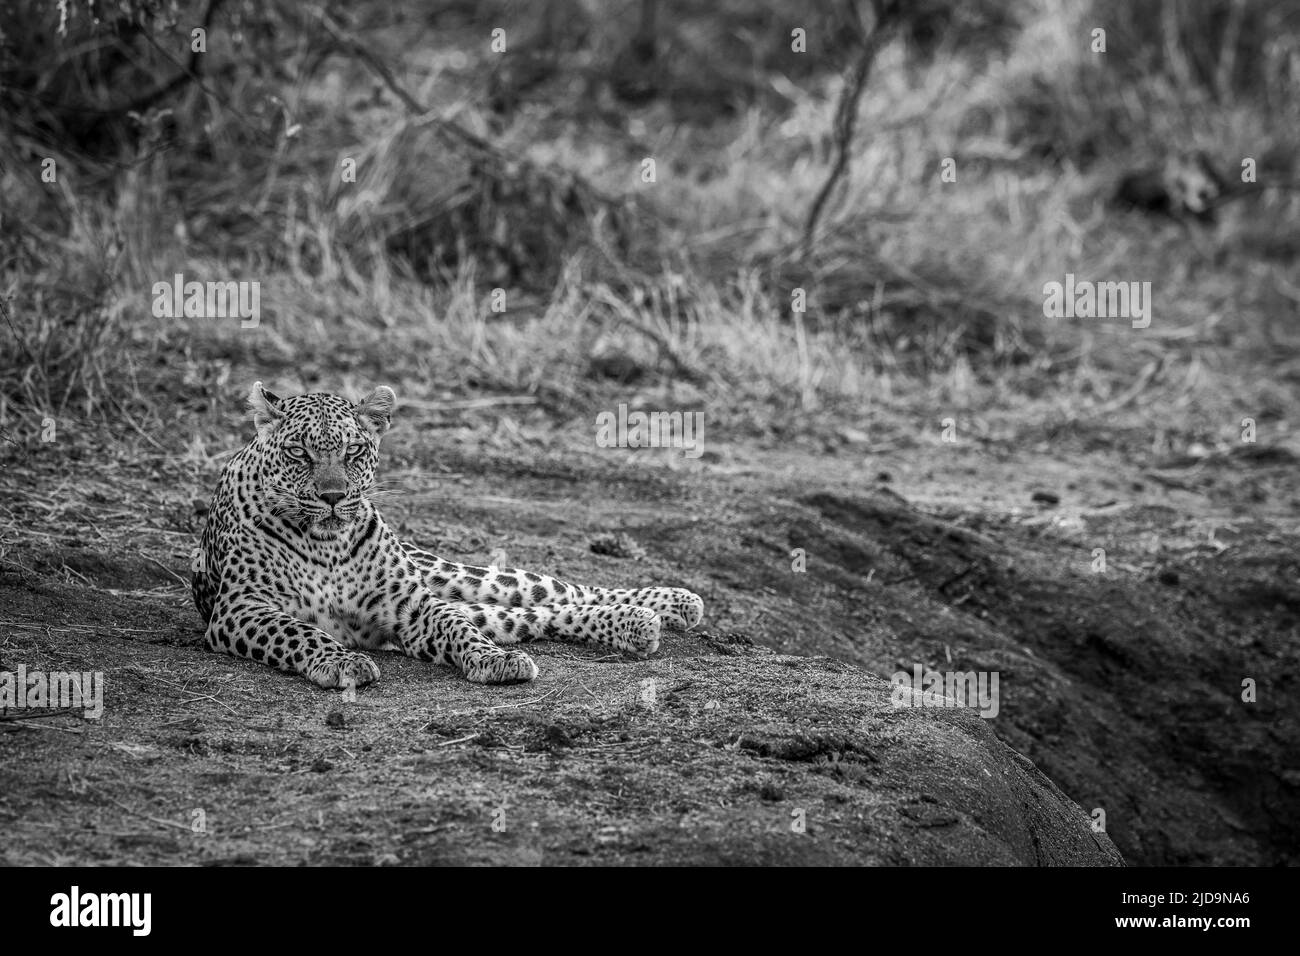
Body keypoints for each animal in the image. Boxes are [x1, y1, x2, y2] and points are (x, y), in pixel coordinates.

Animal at [191, 382, 704, 689]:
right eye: (298, 453)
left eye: (354, 450)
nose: (334, 496)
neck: (328, 546)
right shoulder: (241, 608)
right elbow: (299, 631)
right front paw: (343, 662)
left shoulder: (414, 605)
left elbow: (457, 627)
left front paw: (494, 660)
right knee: (533, 616)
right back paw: (639, 624)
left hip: (453, 576)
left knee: (556, 591)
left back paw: (671, 603)